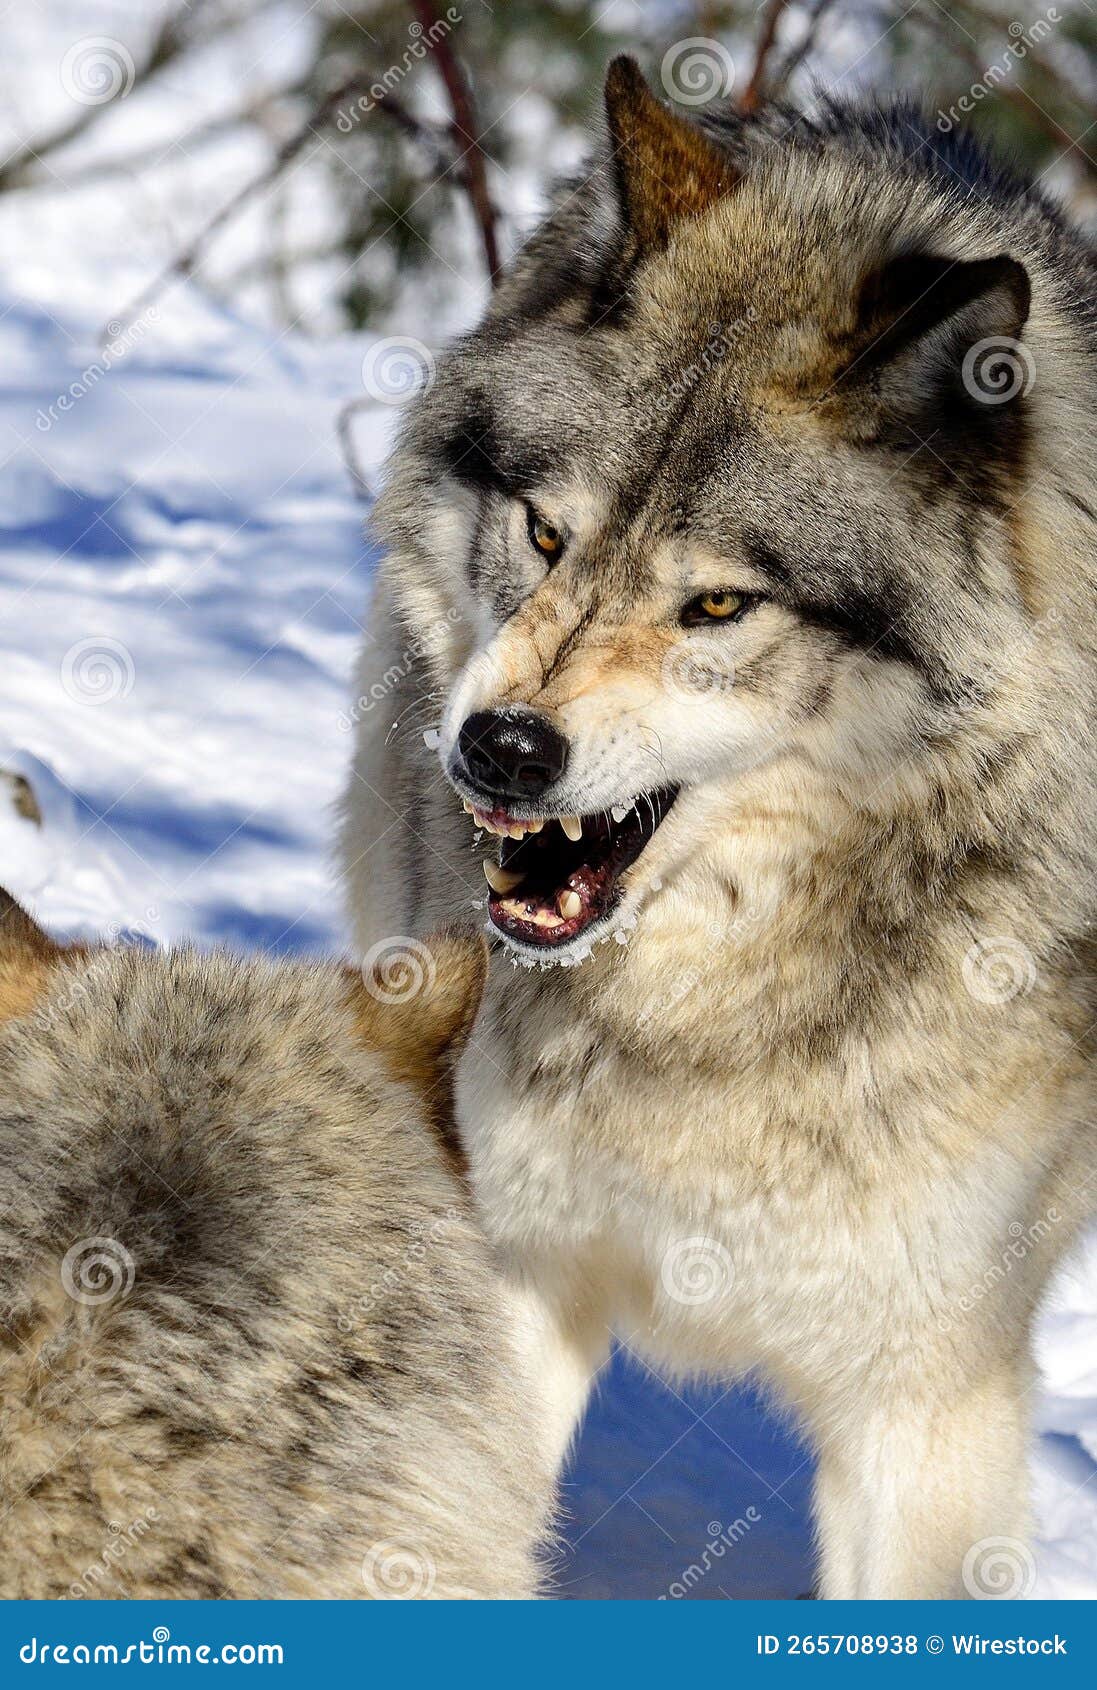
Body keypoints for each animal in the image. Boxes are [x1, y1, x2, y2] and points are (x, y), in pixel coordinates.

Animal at [341, 56, 1097, 1598]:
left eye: (716, 605)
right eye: (548, 535)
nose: (501, 749)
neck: (702, 1013)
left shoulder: (926, 1406)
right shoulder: (508, 1271)